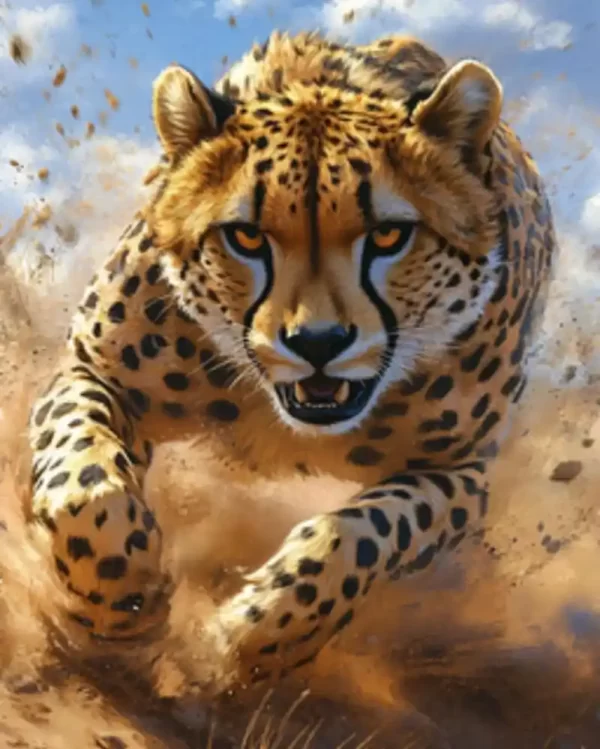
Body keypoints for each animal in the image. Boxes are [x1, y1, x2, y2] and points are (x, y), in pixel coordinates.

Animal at [25, 29, 556, 687]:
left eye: (389, 236)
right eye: (246, 237)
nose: (318, 343)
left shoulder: (462, 470)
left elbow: (368, 531)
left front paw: (257, 636)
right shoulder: (92, 367)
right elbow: (81, 474)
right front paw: (118, 594)